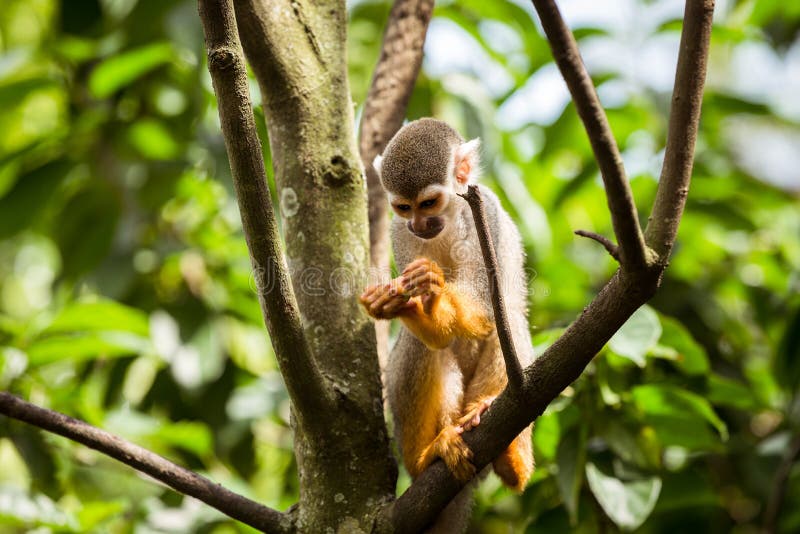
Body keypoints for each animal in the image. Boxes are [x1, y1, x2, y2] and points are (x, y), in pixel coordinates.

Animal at [360, 118, 534, 532]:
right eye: (403, 207)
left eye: (428, 203)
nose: (419, 224)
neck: (451, 219)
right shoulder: (397, 231)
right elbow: (435, 338)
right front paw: (411, 308)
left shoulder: (483, 213)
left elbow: (487, 304)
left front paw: (434, 298)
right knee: (421, 347)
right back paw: (427, 455)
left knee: (509, 322)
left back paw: (509, 457)